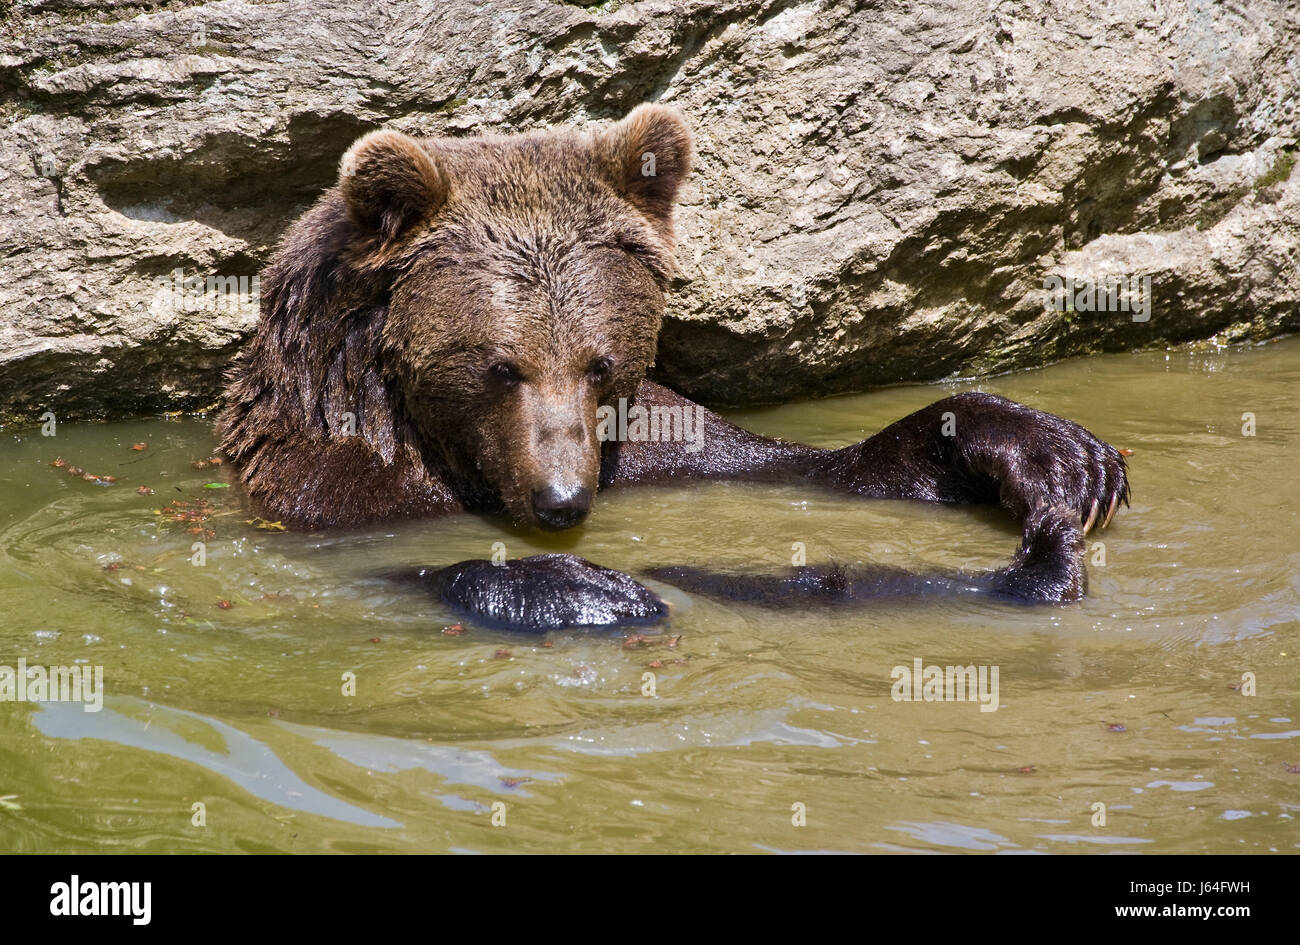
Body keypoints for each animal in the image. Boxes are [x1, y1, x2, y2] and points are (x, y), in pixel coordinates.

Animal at [217, 104, 1130, 632]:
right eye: (499, 366)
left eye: (599, 364)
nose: (561, 499)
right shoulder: (338, 493)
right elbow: (383, 567)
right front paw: (591, 589)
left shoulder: (664, 446)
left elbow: (810, 465)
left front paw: (1054, 456)